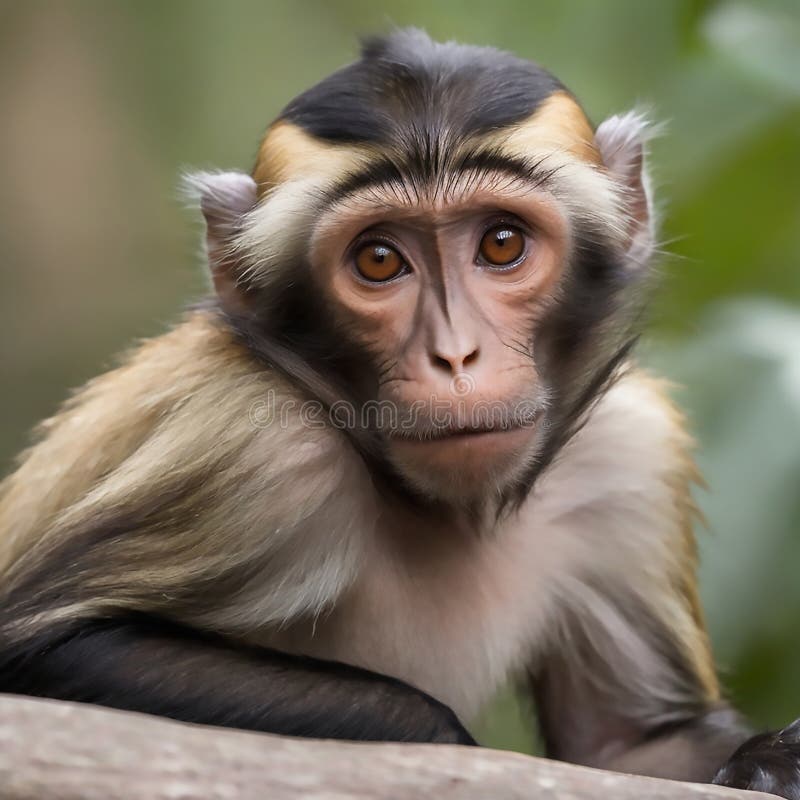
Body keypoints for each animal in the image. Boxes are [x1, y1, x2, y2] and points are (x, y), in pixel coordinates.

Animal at [0, 28, 798, 797]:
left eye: (502, 243)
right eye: (379, 260)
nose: (455, 356)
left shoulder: (629, 449)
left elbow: (628, 745)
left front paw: (771, 760)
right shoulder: (253, 452)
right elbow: (40, 651)